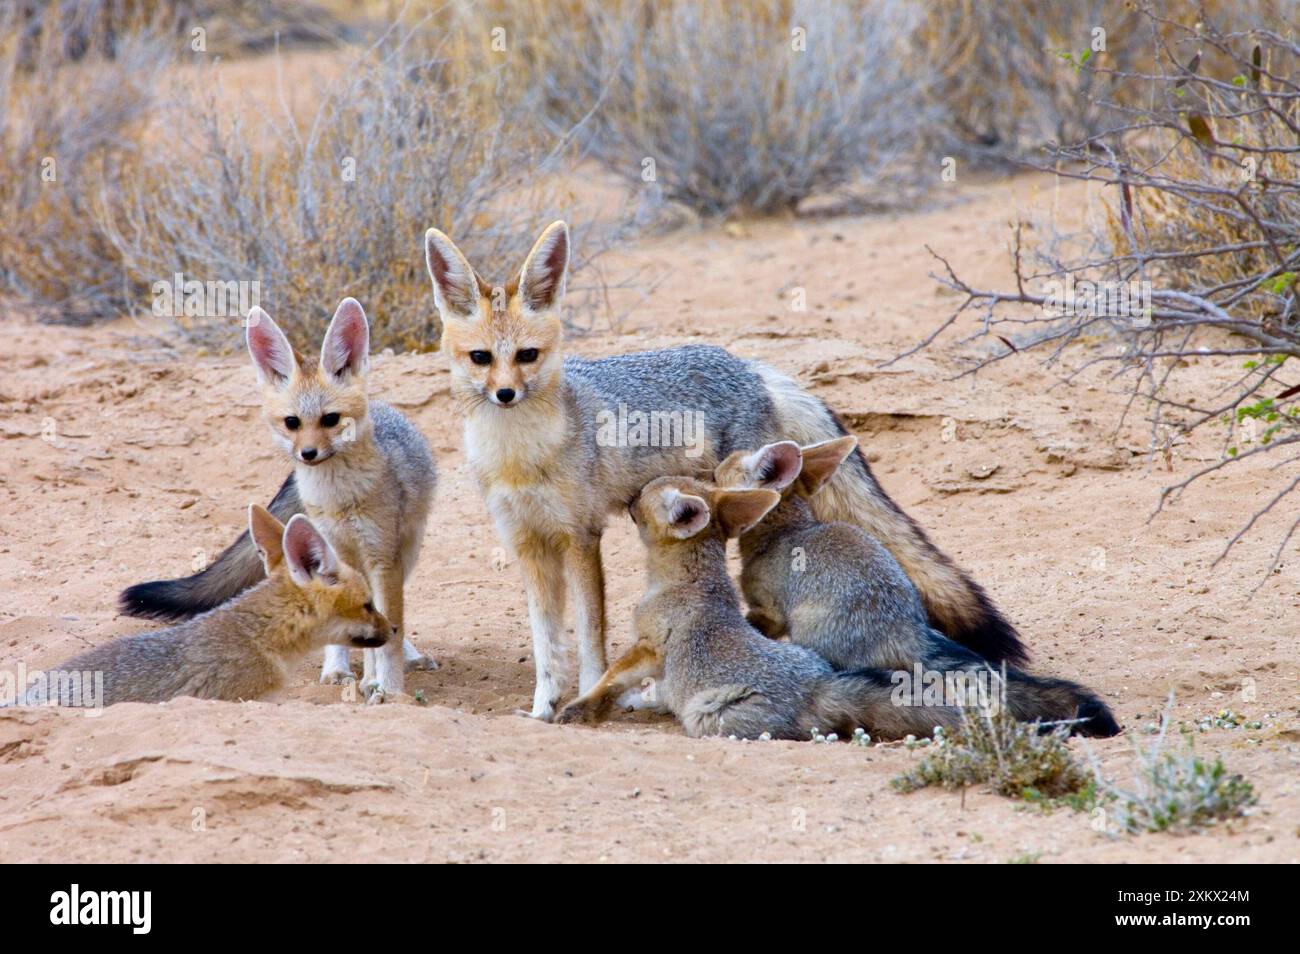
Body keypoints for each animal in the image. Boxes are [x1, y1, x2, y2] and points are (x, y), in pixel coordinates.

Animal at [118, 298, 437, 702]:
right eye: (292, 422)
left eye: (331, 419)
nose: (308, 454)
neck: (339, 498)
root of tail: (384, 407)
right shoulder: (339, 552)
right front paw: (358, 675)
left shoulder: (382, 557)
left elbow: (388, 629)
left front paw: (390, 687)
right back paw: (344, 669)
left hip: (406, 550)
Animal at [554, 477, 967, 739]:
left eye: (642, 496)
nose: (627, 497)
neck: (686, 580)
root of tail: (819, 686)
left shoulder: (649, 646)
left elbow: (609, 678)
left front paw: (581, 707)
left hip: (706, 715)